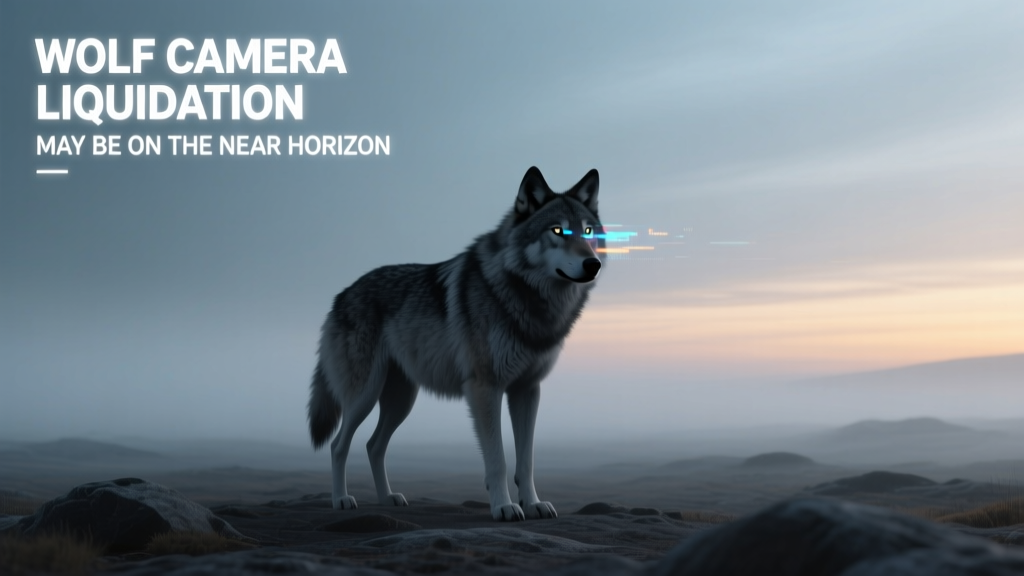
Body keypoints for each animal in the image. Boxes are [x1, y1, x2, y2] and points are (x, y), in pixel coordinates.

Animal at [307, 166, 605, 521]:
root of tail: (341, 295)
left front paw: (533, 504)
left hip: (400, 400)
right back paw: (341, 499)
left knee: (373, 446)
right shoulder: (485, 388)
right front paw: (503, 507)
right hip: (364, 396)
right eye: (558, 230)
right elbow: (498, 459)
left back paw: (387, 498)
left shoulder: (527, 390)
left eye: (588, 231)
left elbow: (526, 460)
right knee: (339, 445)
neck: (526, 299)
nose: (593, 264)